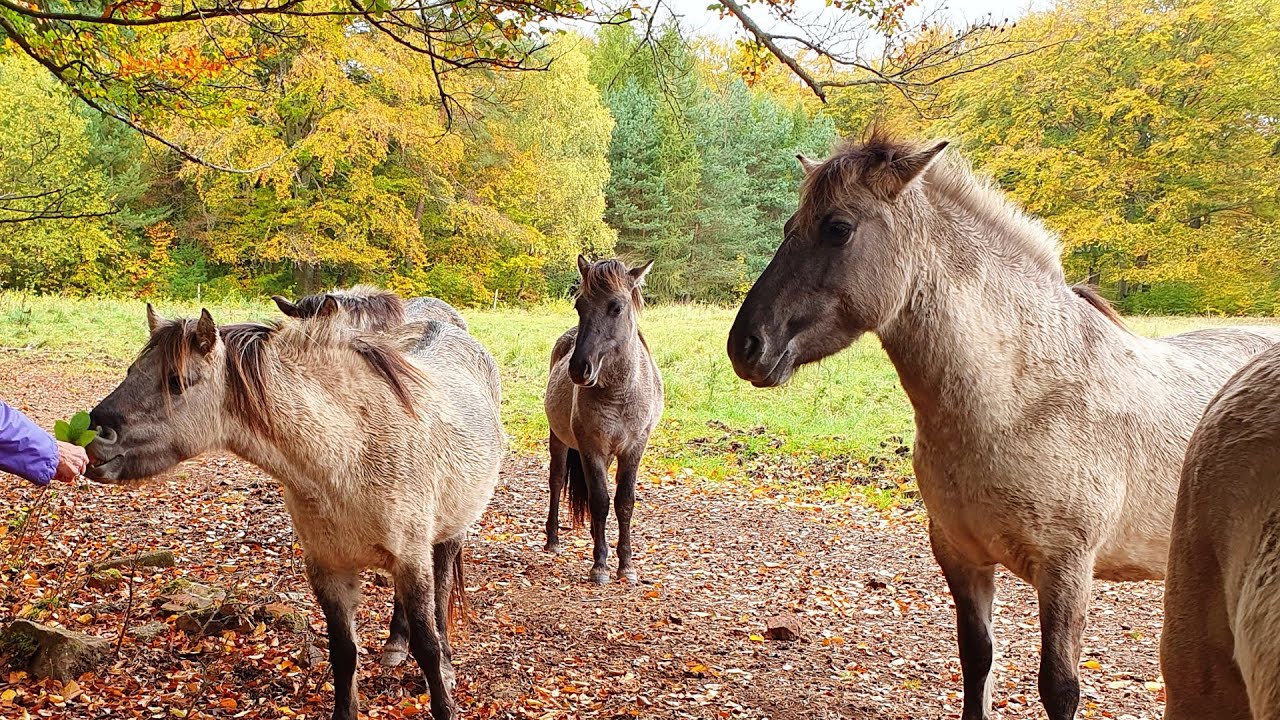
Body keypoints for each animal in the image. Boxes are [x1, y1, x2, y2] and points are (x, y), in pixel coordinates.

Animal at [86, 300, 504, 720]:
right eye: (131, 371)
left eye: (176, 381)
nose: (94, 436)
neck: (349, 453)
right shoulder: (329, 569)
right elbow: (344, 652)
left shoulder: (411, 559)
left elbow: (427, 644)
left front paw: (443, 689)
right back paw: (394, 645)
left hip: (449, 537)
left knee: (441, 596)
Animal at [544, 256, 664, 585]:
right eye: (579, 305)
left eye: (616, 307)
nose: (578, 368)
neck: (620, 393)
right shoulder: (591, 447)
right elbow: (599, 501)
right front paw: (600, 565)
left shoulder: (633, 448)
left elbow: (623, 502)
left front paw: (626, 565)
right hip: (559, 440)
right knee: (556, 481)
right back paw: (553, 540)